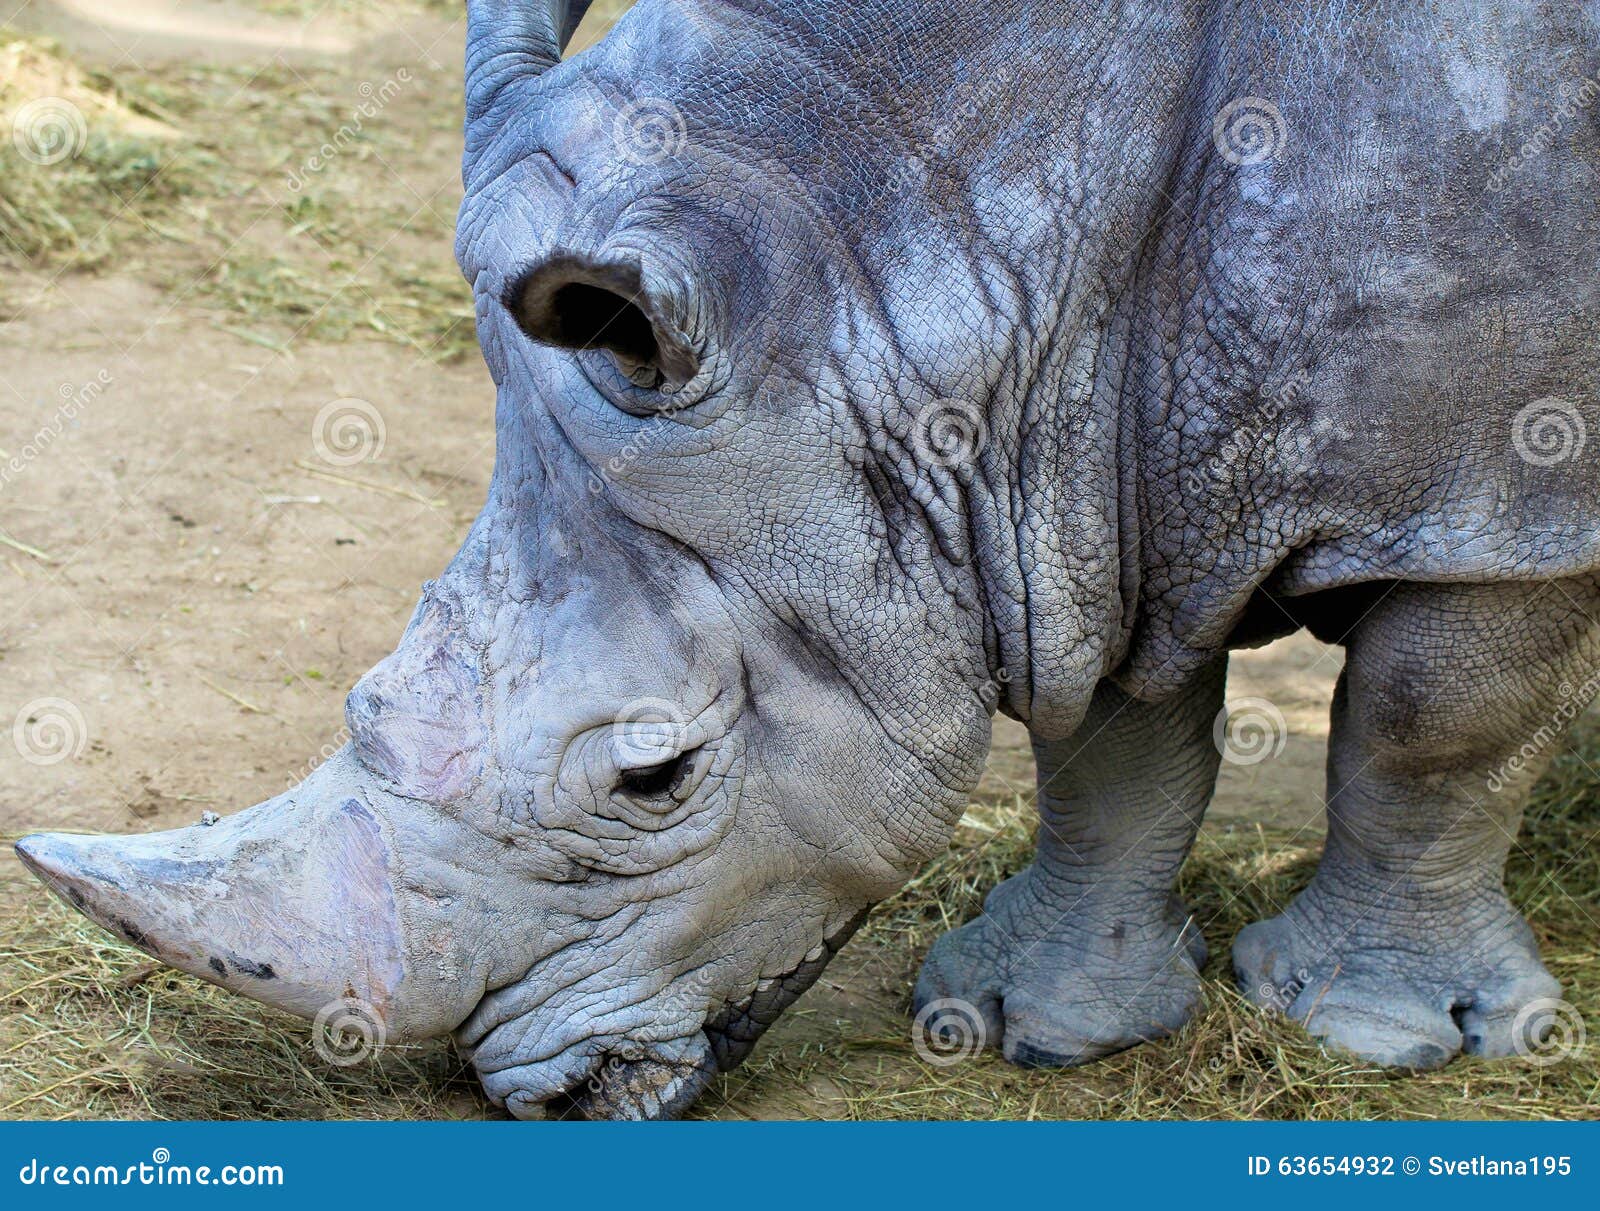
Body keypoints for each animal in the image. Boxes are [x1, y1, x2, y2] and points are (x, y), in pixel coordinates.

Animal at [15, 0, 1600, 1118]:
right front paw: (1036, 1026)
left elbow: (1431, 729)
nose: (528, 1094)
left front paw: (1371, 1034)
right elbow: (1118, 743)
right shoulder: (1084, 472)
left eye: (653, 778)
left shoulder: (1500, 491)